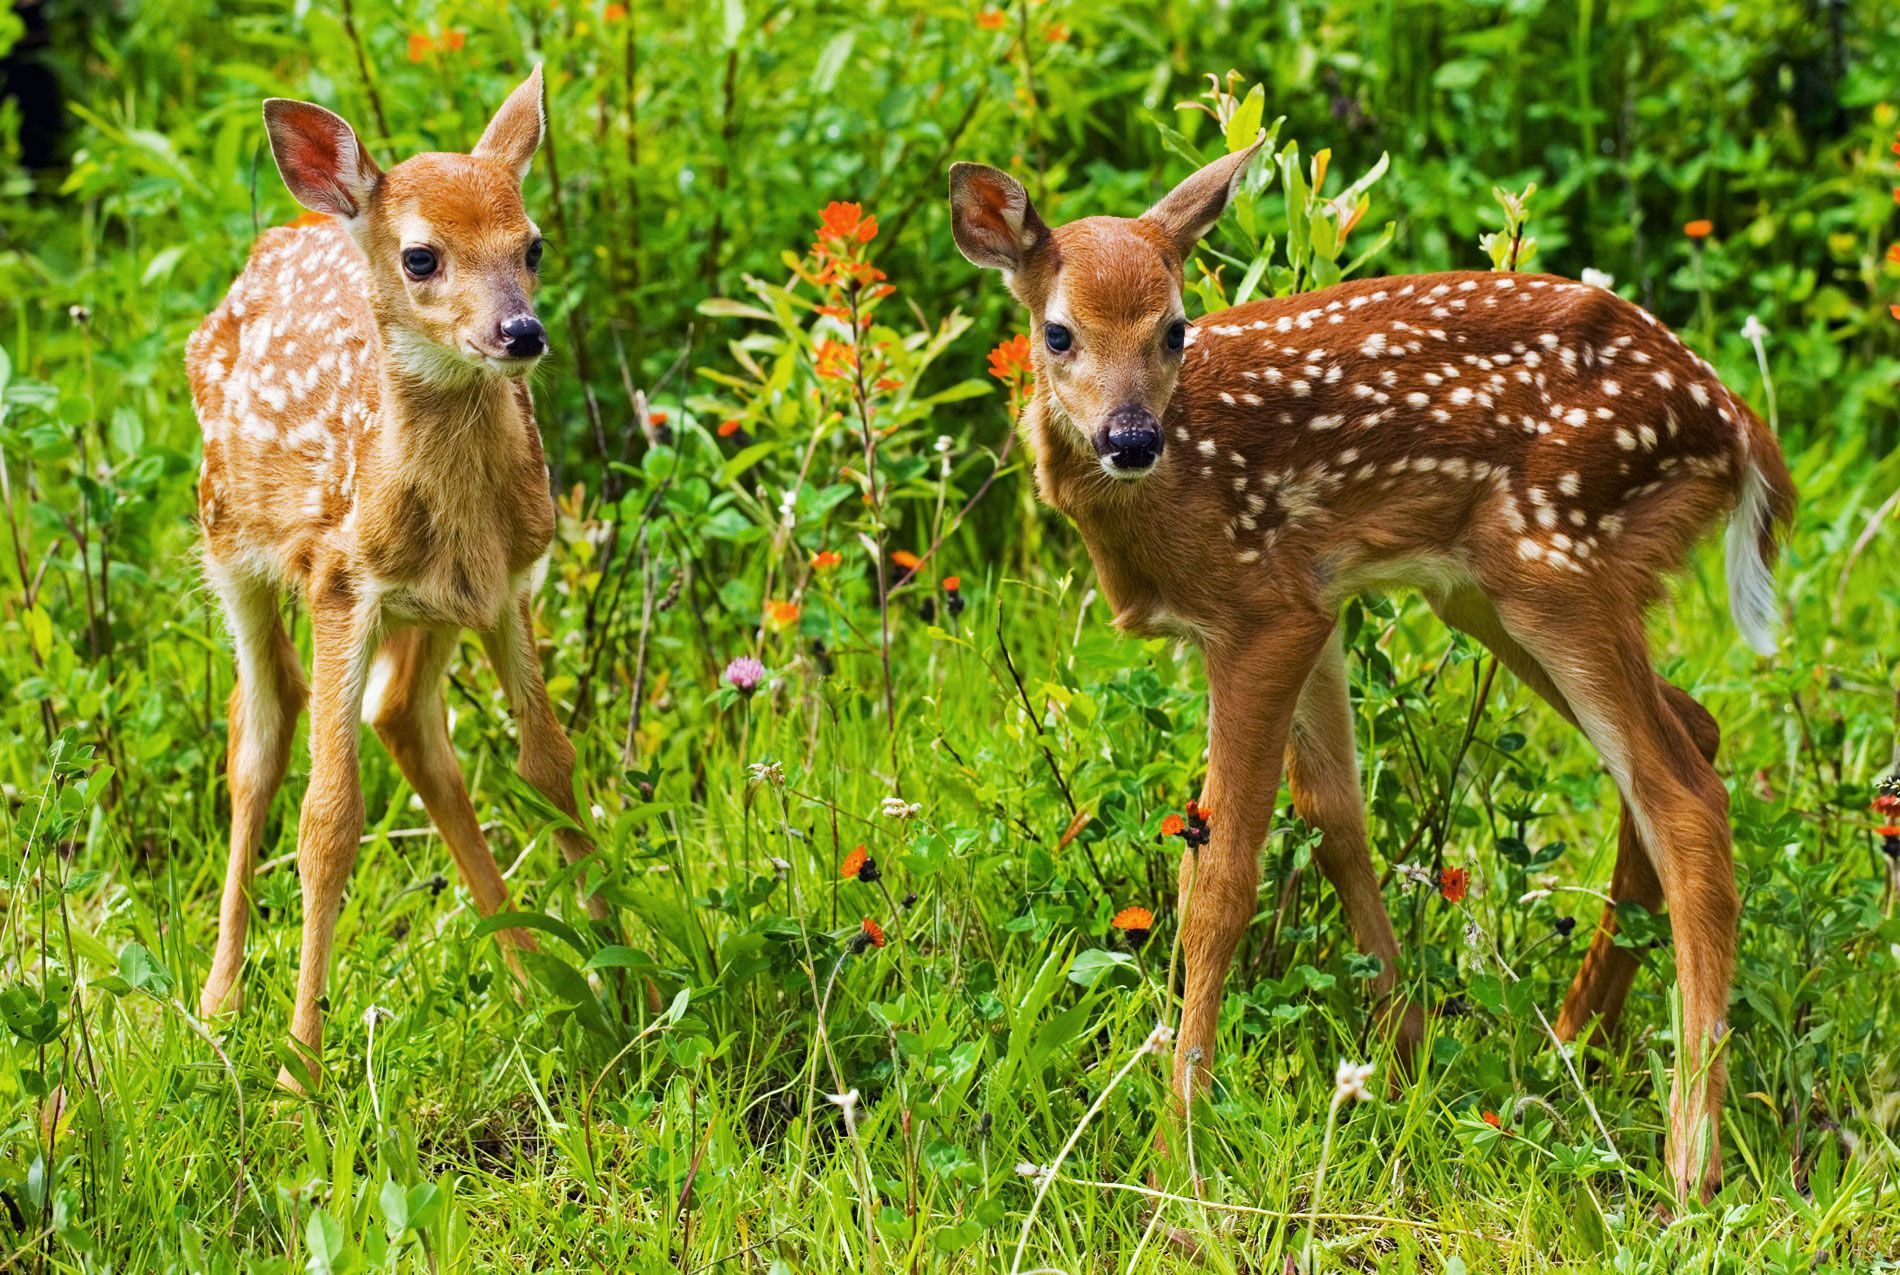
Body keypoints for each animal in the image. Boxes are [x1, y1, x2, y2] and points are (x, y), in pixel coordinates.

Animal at [186, 68, 610, 1088]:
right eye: (421, 257)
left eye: (533, 243)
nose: (520, 332)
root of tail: (286, 232)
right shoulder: (343, 584)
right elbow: (329, 820)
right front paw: (301, 1068)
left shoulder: (506, 586)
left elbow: (550, 767)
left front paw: (632, 976)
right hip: (228, 543)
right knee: (258, 731)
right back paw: (219, 1003)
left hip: (433, 614)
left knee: (404, 718)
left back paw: (527, 974)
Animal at [949, 137, 1794, 1202]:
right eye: (1057, 334)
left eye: (1176, 328)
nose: (1130, 437)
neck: (1171, 497)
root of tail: (1735, 421)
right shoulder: (1316, 599)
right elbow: (1336, 819)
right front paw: (1406, 1055)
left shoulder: (1259, 611)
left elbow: (1221, 876)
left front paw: (1180, 1142)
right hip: (1494, 589)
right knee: (1690, 736)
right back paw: (1569, 1047)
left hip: (1554, 557)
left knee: (1681, 795)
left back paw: (1688, 1158)